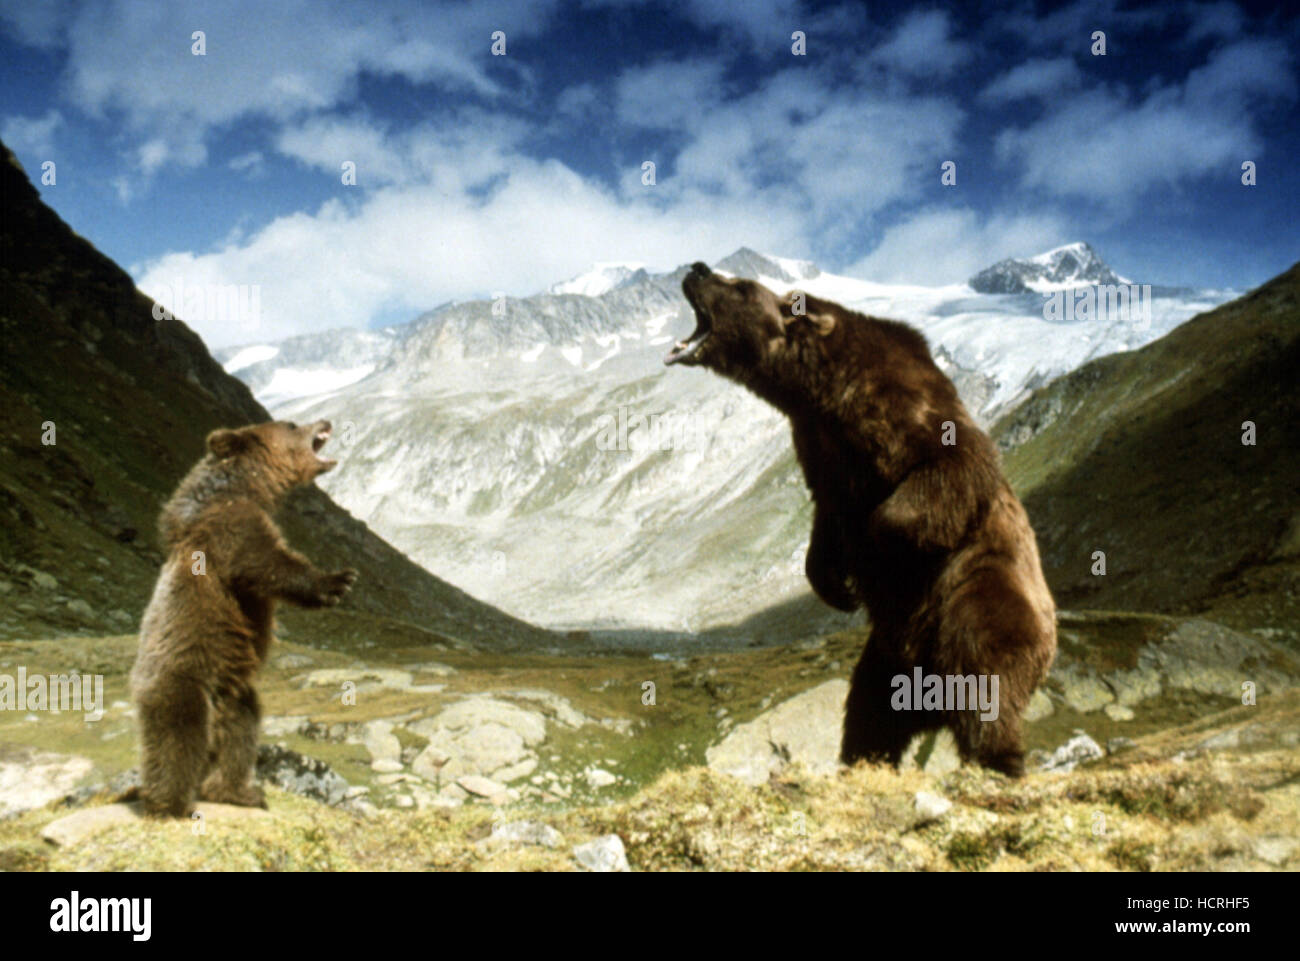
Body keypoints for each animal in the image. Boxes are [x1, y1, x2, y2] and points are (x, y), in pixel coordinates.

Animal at [128, 420, 357, 816]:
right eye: (292, 425)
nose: (325, 422)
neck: (248, 488)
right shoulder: (231, 526)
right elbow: (265, 562)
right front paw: (338, 580)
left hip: (235, 689)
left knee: (241, 731)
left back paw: (239, 791)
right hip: (180, 679)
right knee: (177, 737)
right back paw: (169, 804)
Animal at [667, 262, 1056, 777]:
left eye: (741, 286)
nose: (696, 269)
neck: (820, 389)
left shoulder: (905, 408)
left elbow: (947, 469)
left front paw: (871, 554)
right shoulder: (820, 448)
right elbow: (826, 518)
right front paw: (837, 586)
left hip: (981, 598)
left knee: (984, 682)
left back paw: (997, 761)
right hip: (887, 659)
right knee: (871, 711)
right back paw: (864, 760)